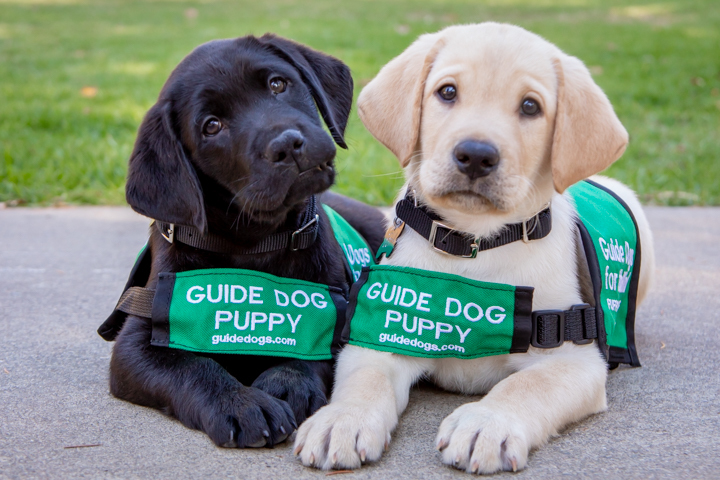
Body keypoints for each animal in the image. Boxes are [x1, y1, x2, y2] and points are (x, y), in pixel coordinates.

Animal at [104, 34, 386, 450]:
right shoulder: (135, 345)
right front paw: (240, 402)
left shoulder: (337, 312)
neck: (253, 244)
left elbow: (313, 345)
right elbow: (192, 366)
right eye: (212, 126)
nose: (287, 144)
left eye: (278, 84)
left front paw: (288, 380)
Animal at [292, 21, 652, 472]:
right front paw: (342, 420)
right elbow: (364, 379)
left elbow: (528, 384)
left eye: (530, 106)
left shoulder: (575, 359)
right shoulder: (379, 334)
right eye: (447, 92)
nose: (476, 155)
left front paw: (486, 423)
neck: (473, 243)